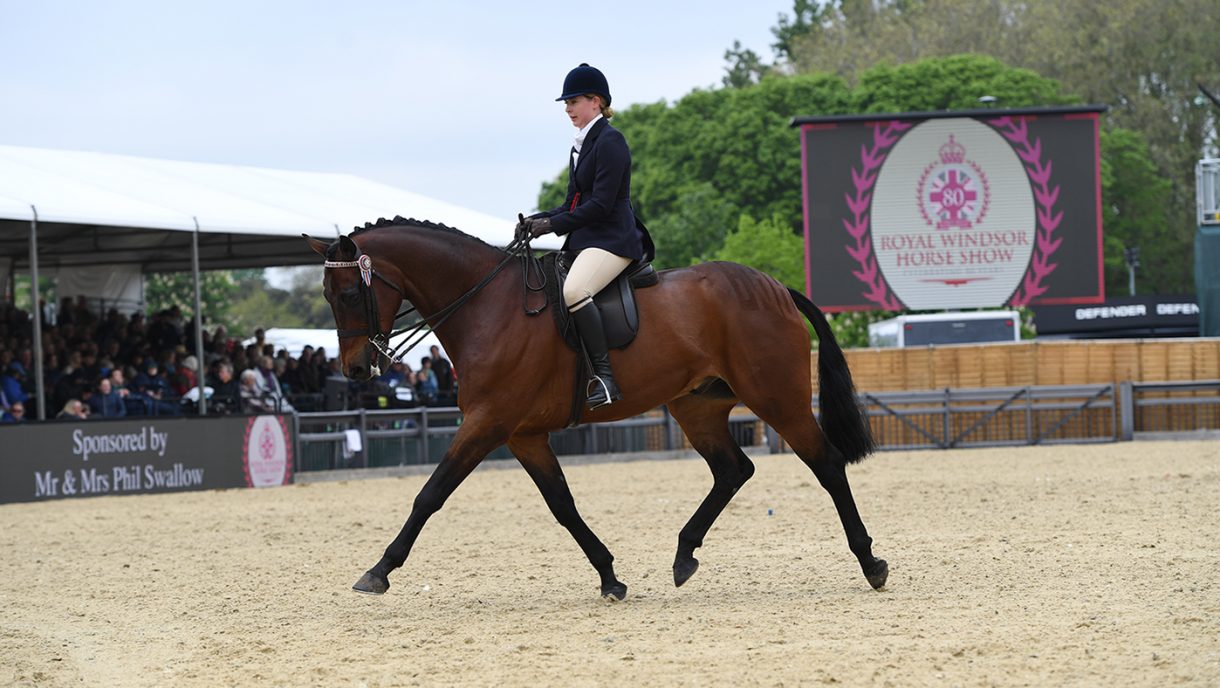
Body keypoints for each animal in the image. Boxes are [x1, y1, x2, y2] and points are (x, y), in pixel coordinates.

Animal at [304, 217, 888, 600]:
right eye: (329, 296)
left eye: (350, 294)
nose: (355, 371)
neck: (485, 307)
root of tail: (776, 287)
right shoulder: (523, 434)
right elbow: (562, 506)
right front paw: (610, 576)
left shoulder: (487, 423)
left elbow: (430, 495)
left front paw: (379, 570)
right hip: (695, 406)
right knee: (732, 470)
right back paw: (684, 555)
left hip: (776, 398)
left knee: (826, 463)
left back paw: (871, 562)